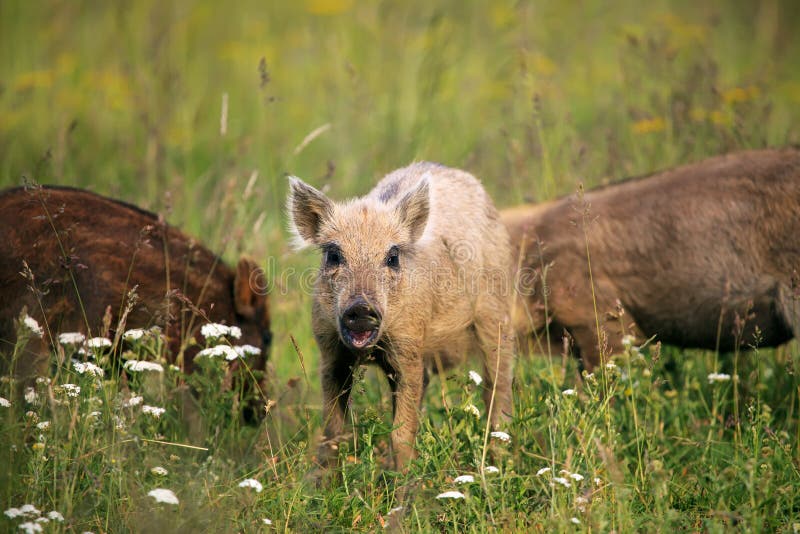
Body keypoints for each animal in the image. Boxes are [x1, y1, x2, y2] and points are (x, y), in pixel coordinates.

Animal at [287, 162, 515, 470]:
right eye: (333, 255)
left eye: (392, 256)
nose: (361, 308)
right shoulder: (329, 351)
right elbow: (333, 433)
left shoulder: (409, 347)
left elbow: (401, 435)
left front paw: (403, 482)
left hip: (497, 314)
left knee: (498, 386)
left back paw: (498, 462)